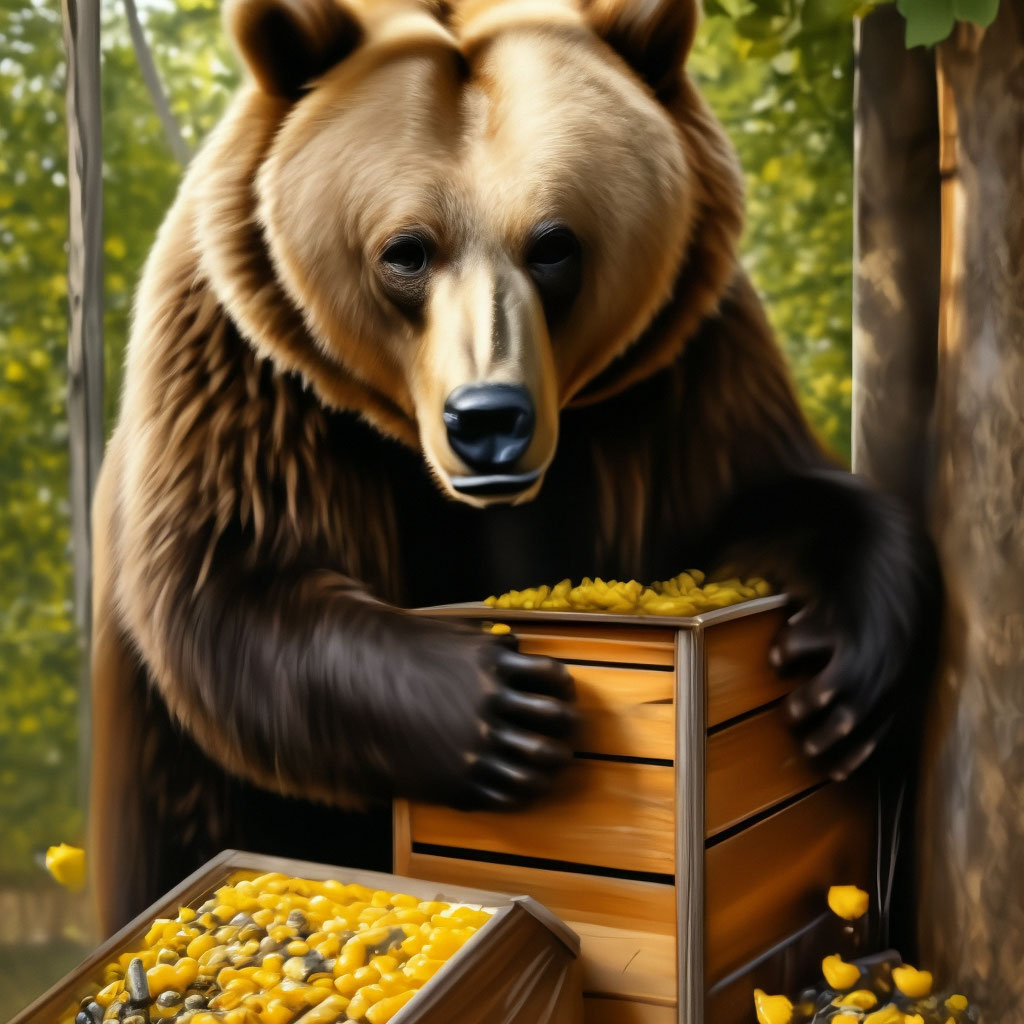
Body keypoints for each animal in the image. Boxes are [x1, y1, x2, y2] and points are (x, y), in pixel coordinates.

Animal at [89, 0, 940, 934]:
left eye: (555, 244)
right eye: (406, 250)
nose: (488, 421)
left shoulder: (685, 362)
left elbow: (756, 493)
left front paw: (836, 671)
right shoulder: (247, 359)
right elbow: (231, 575)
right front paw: (504, 708)